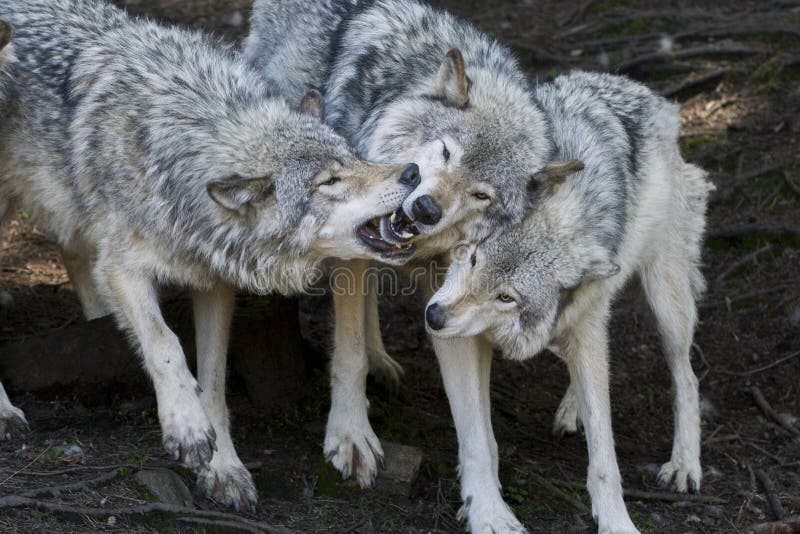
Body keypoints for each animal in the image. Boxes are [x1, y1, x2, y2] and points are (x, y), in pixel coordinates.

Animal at [0, 0, 421, 510]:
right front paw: (185, 426)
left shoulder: (212, 282)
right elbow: (165, 343)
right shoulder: (124, 267)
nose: (413, 171)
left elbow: (214, 381)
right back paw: (5, 411)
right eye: (328, 182)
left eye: (355, 157)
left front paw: (222, 466)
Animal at [246, 2, 576, 516]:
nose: (424, 208)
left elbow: (474, 422)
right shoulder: (355, 243)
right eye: (445, 151)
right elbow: (348, 353)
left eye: (482, 194)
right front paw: (350, 434)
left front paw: (489, 507)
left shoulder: (451, 299)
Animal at [426, 71, 713, 533]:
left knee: (687, 377)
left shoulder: (586, 327)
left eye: (506, 296)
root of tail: (648, 94)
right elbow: (479, 430)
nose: (434, 316)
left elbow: (605, 453)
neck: (561, 213)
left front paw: (617, 521)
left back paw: (684, 465)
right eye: (472, 259)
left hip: (666, 303)